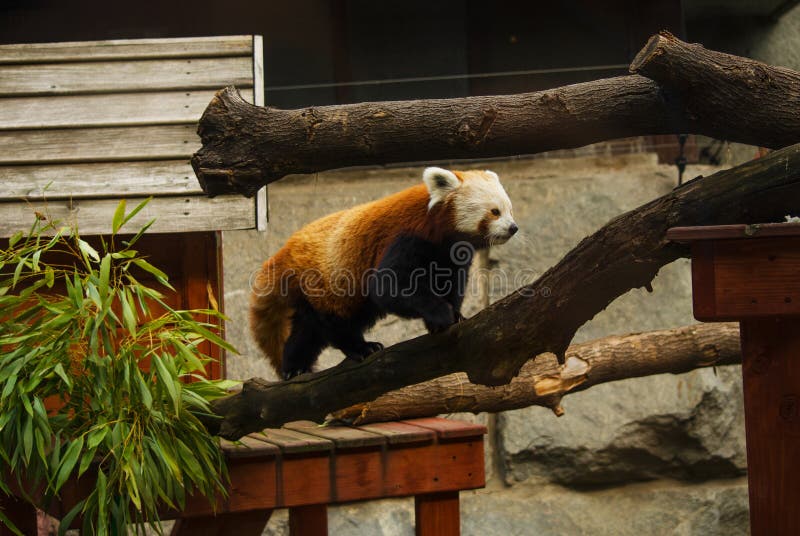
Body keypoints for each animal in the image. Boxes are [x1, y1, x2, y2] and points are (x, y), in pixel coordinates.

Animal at [250, 167, 517, 379]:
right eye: (495, 211)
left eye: (510, 210)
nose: (513, 228)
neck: (439, 231)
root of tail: (285, 251)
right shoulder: (406, 238)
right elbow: (389, 289)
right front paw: (440, 314)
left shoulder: (448, 255)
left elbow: (450, 283)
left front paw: (455, 315)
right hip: (321, 281)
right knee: (334, 322)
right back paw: (360, 348)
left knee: (308, 331)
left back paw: (294, 366)